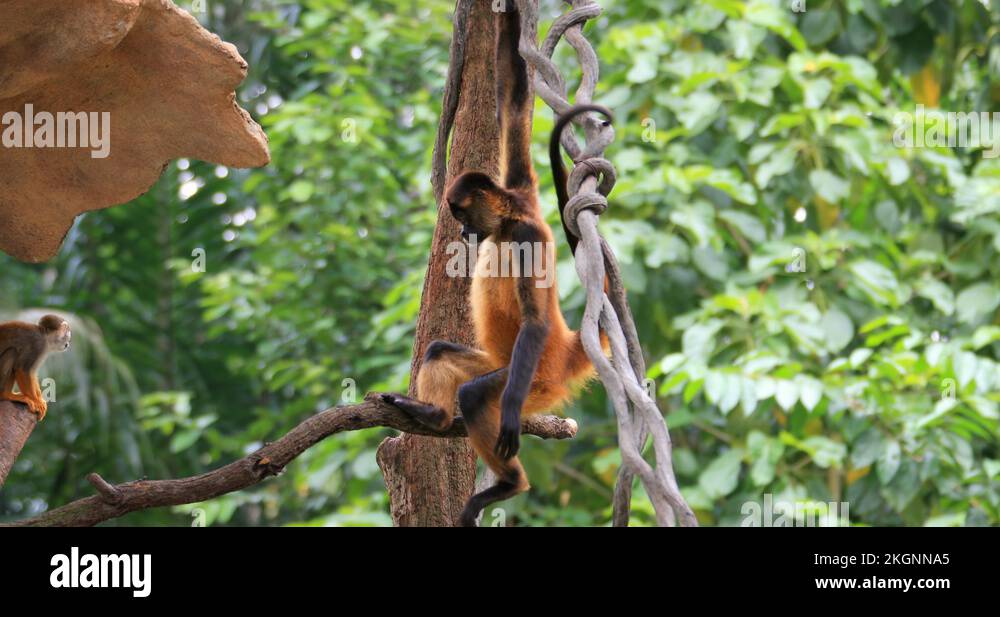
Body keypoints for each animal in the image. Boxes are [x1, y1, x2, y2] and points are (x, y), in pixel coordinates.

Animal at [382, 4, 614, 526]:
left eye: (461, 213)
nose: (463, 233)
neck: (511, 220)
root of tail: (565, 348)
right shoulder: (521, 183)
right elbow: (513, 94)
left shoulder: (528, 235)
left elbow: (532, 317)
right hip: (496, 361)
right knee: (440, 353)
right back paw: (434, 415)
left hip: (530, 379)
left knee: (476, 395)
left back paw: (509, 483)